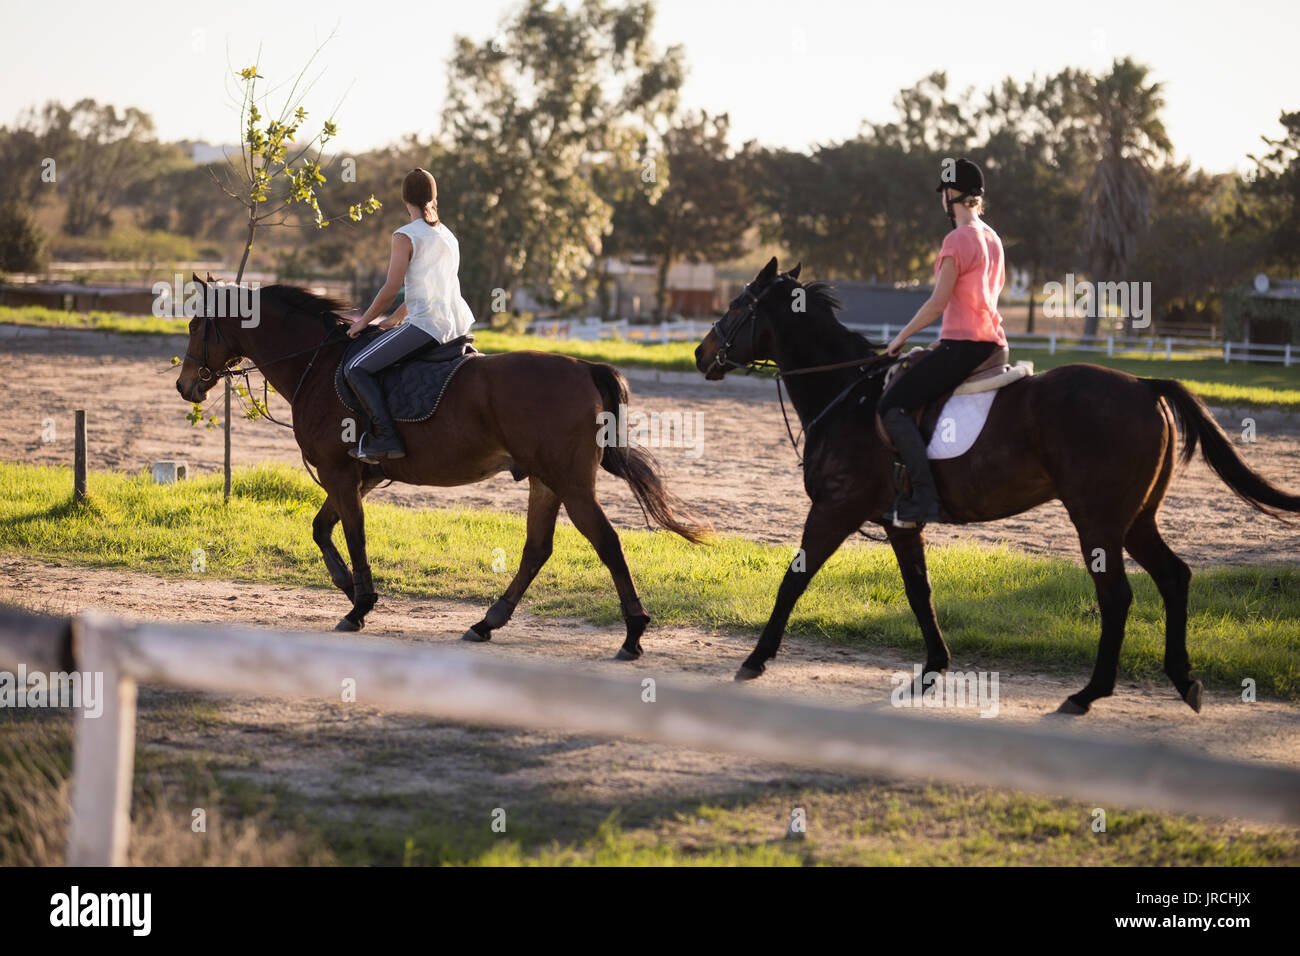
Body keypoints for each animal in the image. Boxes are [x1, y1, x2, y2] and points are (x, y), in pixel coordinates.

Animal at [174, 277, 706, 657]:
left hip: (570, 484)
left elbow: (351, 533)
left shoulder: (341, 474)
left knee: (607, 543)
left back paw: (633, 635)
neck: (318, 366)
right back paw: (487, 622)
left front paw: (359, 604)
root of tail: (583, 366)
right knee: (537, 550)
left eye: (197, 326)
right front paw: (348, 588)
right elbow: (322, 527)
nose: (185, 385)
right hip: (545, 481)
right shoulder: (355, 477)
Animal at [693, 257, 1300, 714]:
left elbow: (792, 581)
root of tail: (1145, 385)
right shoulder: (899, 524)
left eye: (737, 306)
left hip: (1098, 520)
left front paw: (755, 659)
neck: (850, 394)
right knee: (1174, 577)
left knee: (1117, 596)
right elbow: (919, 592)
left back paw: (1089, 693)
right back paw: (1182, 679)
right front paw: (933, 669)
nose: (701, 353)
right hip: (1135, 520)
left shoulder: (834, 508)